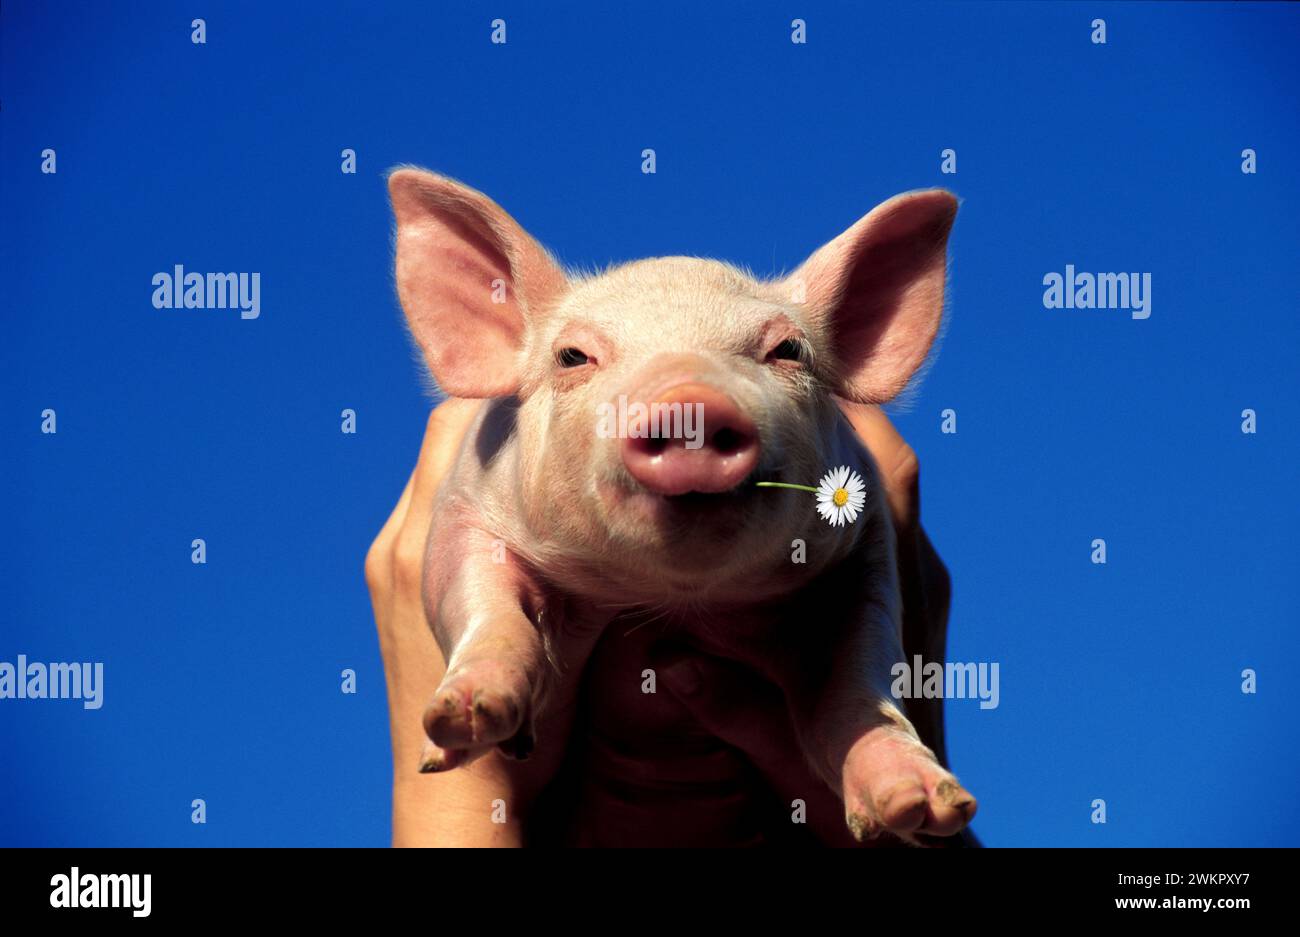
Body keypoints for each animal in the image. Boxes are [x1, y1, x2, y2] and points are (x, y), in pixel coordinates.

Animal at [387, 167, 974, 844]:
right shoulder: (463, 504)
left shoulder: (867, 536)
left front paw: (924, 807)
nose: (689, 400)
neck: (675, 600)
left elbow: (863, 669)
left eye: (788, 351)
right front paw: (460, 721)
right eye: (572, 356)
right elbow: (477, 599)